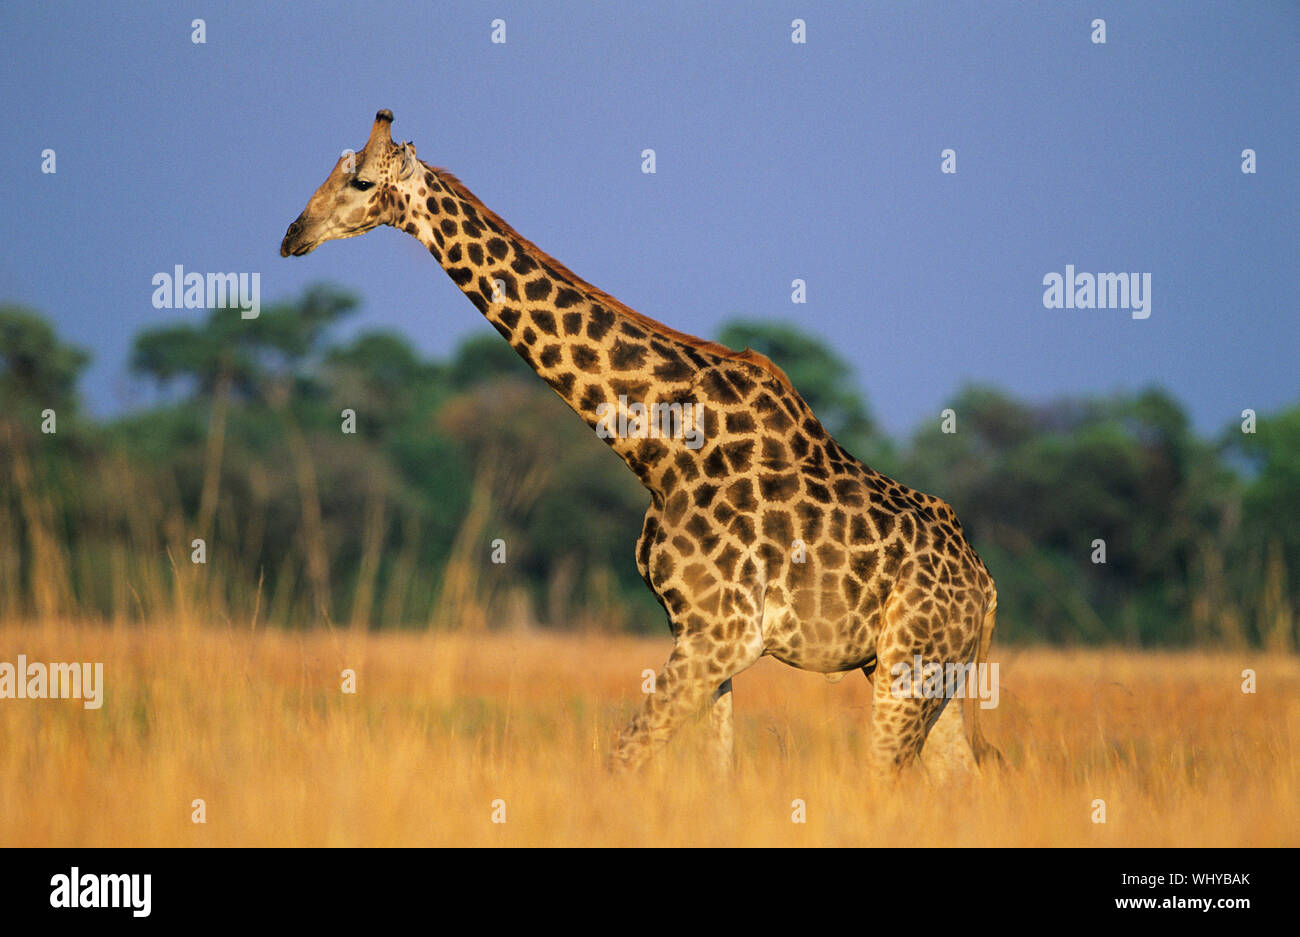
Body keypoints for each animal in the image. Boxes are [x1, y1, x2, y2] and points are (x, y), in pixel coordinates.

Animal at [280, 110, 1002, 779]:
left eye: (361, 180)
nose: (293, 235)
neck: (657, 449)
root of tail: (984, 583)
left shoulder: (722, 632)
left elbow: (621, 760)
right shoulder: (700, 632)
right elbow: (712, 773)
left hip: (910, 664)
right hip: (918, 671)